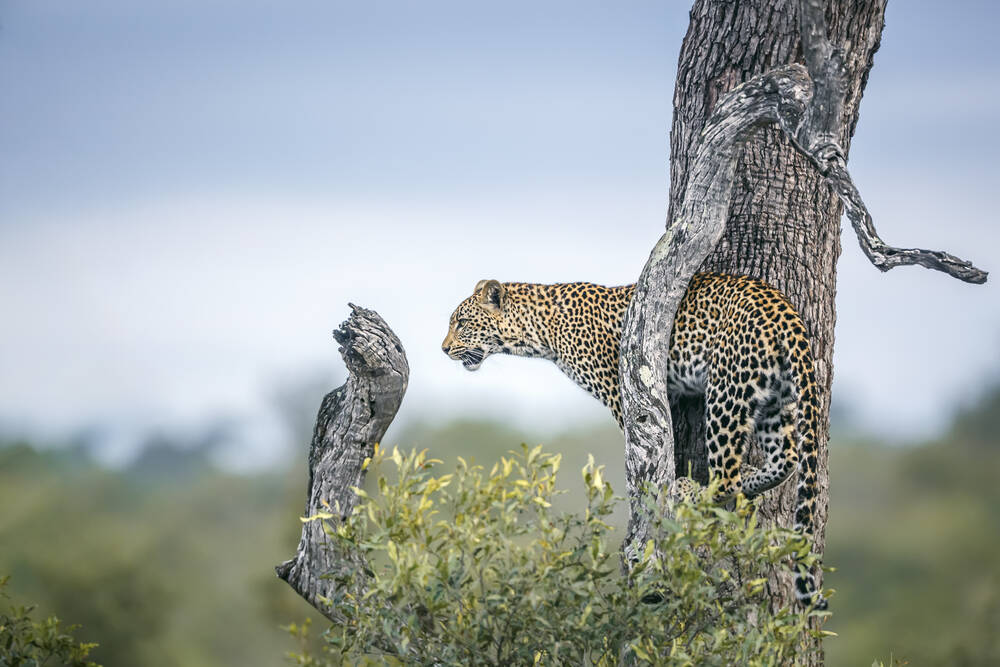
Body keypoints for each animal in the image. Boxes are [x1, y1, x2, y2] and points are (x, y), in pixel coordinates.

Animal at [442, 272, 826, 609]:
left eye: (461, 322)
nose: (443, 349)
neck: (540, 331)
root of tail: (783, 309)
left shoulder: (622, 394)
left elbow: (641, 451)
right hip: (777, 397)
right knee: (787, 458)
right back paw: (749, 477)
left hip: (726, 388)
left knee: (727, 474)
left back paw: (691, 490)